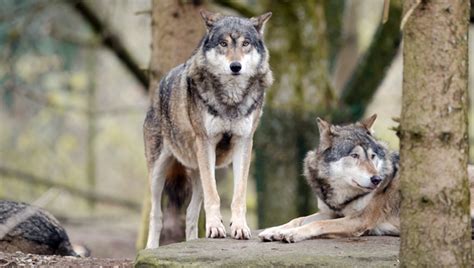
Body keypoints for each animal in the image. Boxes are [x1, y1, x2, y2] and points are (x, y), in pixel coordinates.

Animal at [143, 10, 272, 249]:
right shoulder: (206, 142)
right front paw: (215, 228)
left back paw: (194, 240)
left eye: (245, 43)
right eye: (223, 43)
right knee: (156, 215)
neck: (231, 100)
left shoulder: (244, 143)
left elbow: (239, 196)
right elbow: (215, 197)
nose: (235, 66)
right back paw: (151, 249)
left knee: (191, 215)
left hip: (203, 170)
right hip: (159, 173)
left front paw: (239, 227)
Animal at [260, 115, 474, 243]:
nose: (377, 179)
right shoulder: (331, 213)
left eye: (372, 156)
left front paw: (291, 234)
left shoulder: (358, 221)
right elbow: (299, 219)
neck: (342, 196)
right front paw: (276, 230)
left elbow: (317, 225)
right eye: (355, 155)